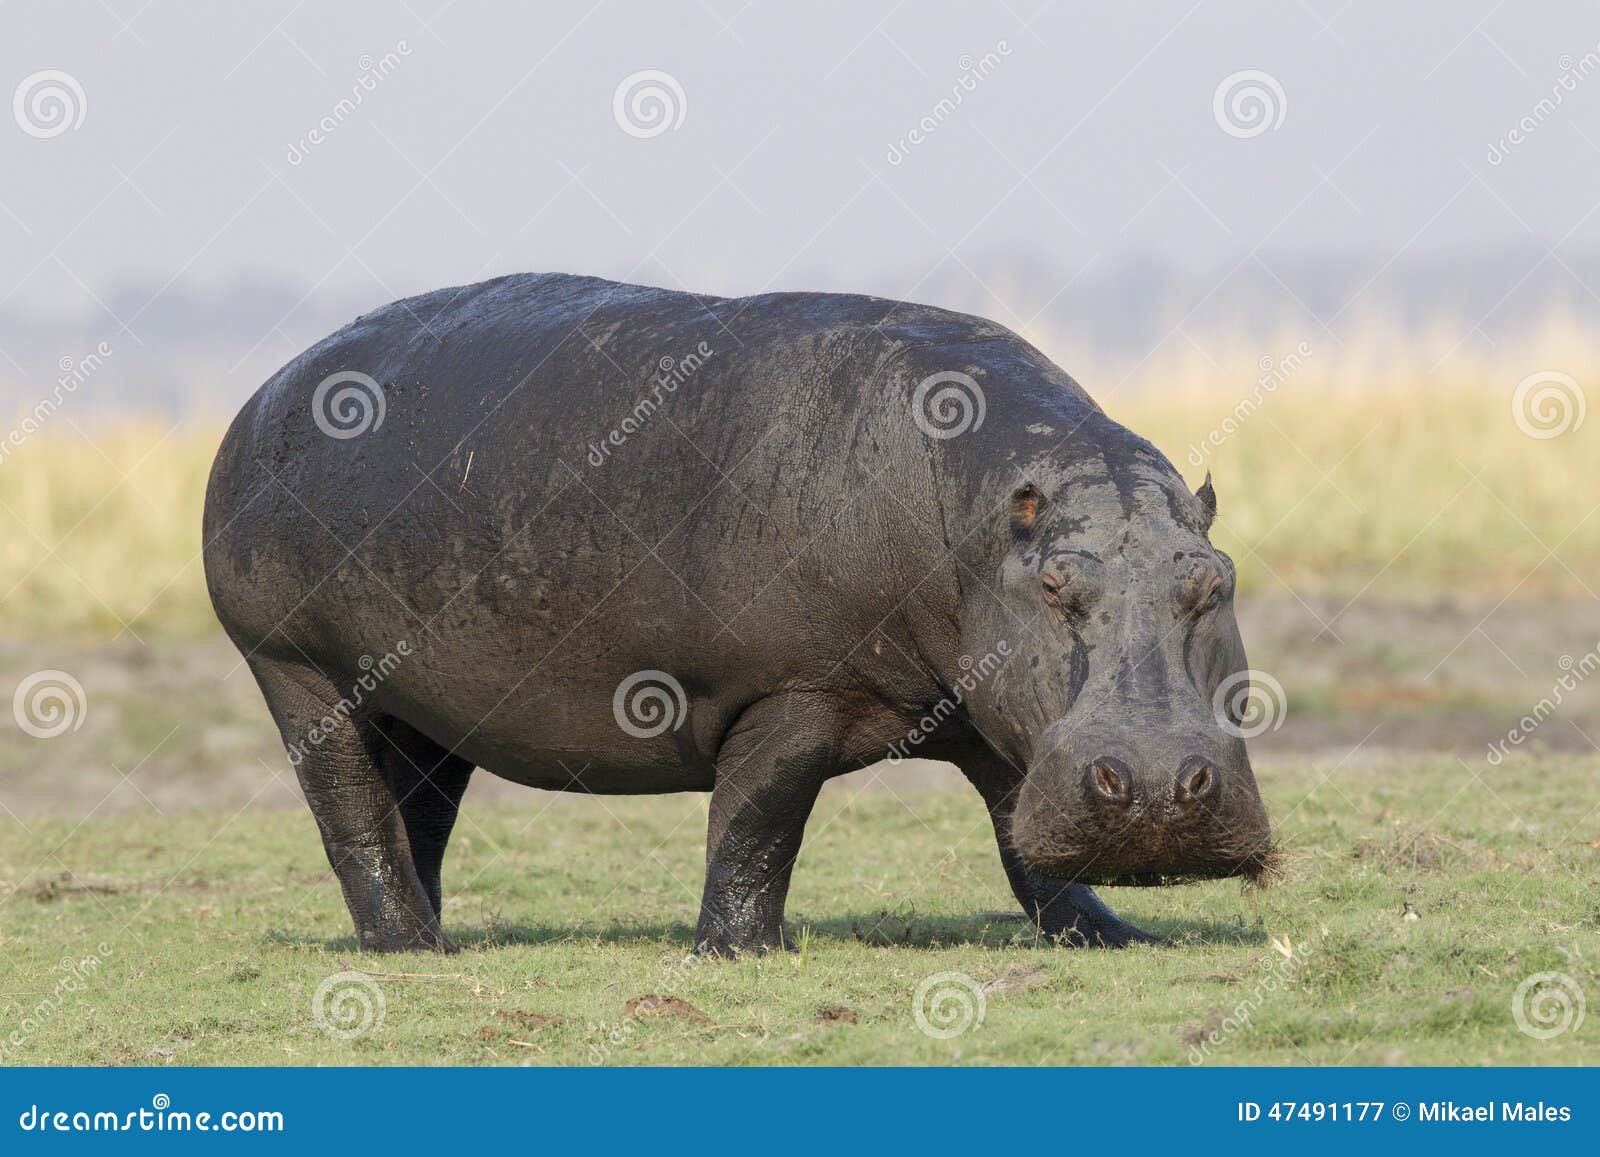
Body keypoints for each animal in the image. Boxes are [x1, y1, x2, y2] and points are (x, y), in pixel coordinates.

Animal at [203, 273, 1276, 955]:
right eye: (1055, 586)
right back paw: (406, 948)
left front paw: (1116, 935)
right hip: (293, 668)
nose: (1153, 786)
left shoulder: (997, 712)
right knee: (349, 807)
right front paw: (739, 950)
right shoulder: (790, 692)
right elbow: (758, 821)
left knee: (417, 805)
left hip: (426, 701)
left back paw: (435, 934)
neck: (980, 523)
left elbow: (1027, 841)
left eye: (1214, 578)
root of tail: (263, 392)